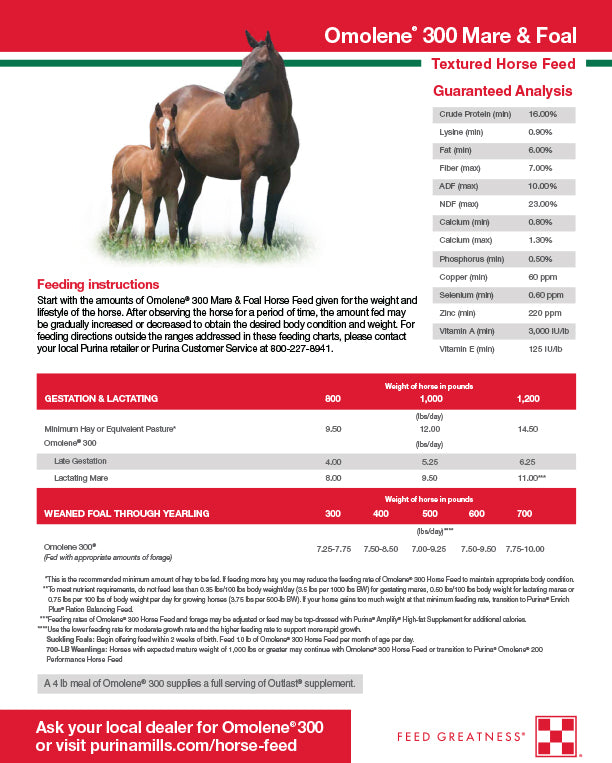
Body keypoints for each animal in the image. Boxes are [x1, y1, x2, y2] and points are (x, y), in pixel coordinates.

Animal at [110, 103, 182, 246]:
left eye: (173, 128)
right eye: (157, 127)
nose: (165, 148)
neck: (162, 166)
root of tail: (125, 150)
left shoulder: (171, 194)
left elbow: (173, 227)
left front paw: (172, 250)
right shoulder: (149, 194)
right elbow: (149, 227)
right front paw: (147, 250)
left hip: (135, 193)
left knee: (128, 221)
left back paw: (125, 247)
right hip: (119, 190)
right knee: (114, 218)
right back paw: (110, 244)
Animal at [151, 30, 299, 247]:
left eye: (260, 63)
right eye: (243, 61)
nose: (231, 96)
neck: (276, 122)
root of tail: (165, 103)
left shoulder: (281, 175)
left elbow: (270, 218)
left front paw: (267, 248)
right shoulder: (249, 173)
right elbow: (246, 220)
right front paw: (243, 250)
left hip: (194, 173)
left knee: (183, 210)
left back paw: (184, 246)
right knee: (155, 208)